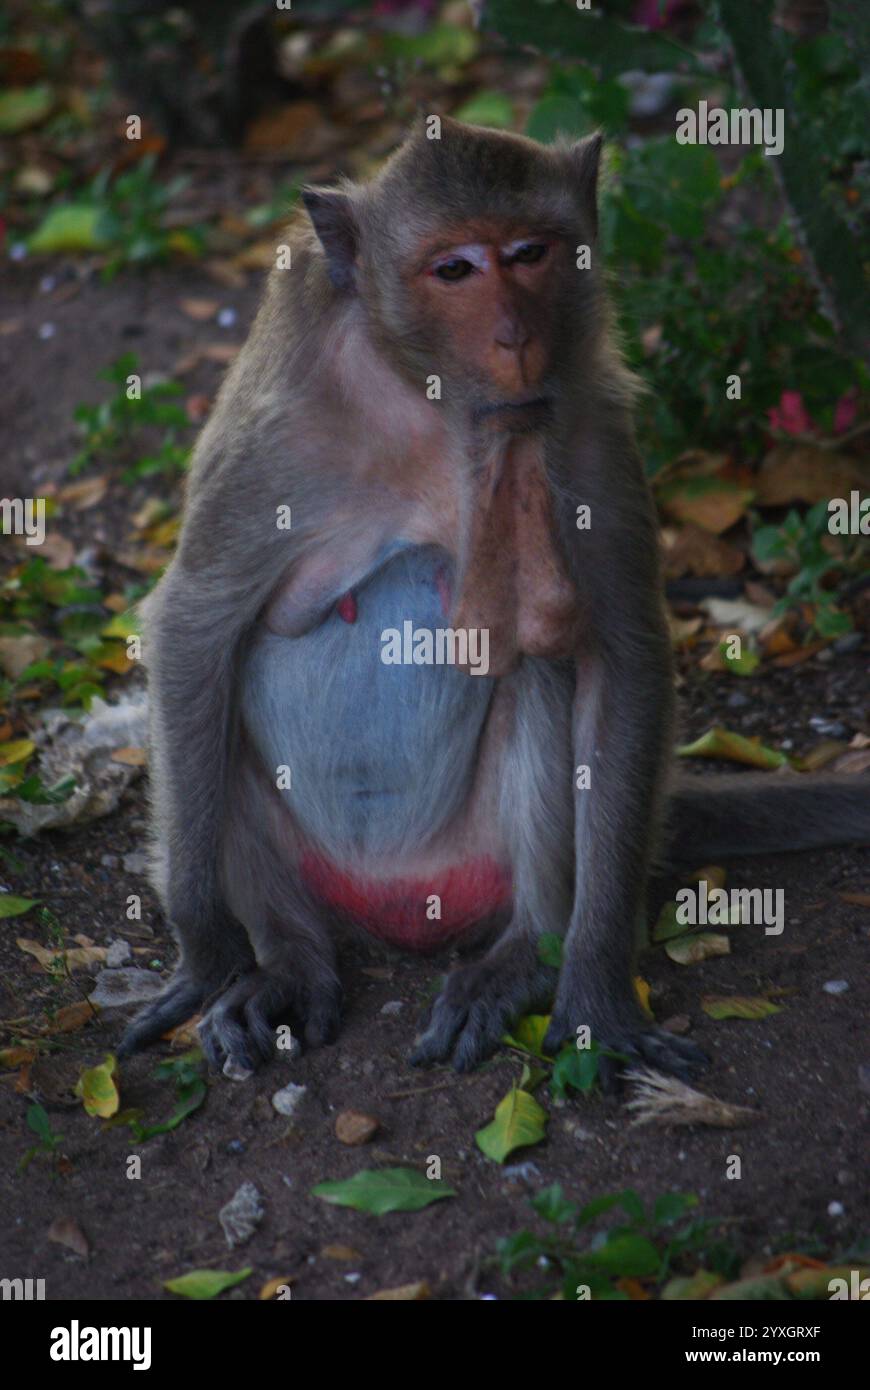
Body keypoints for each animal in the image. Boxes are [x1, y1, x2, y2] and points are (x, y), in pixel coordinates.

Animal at [118, 117, 870, 1086]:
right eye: (455, 270)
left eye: (528, 254)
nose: (514, 336)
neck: (433, 402)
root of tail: (396, 906)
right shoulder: (278, 420)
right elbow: (195, 628)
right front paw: (209, 960)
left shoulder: (586, 416)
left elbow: (620, 658)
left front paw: (595, 986)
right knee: (217, 733)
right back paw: (286, 958)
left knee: (540, 680)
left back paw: (525, 956)